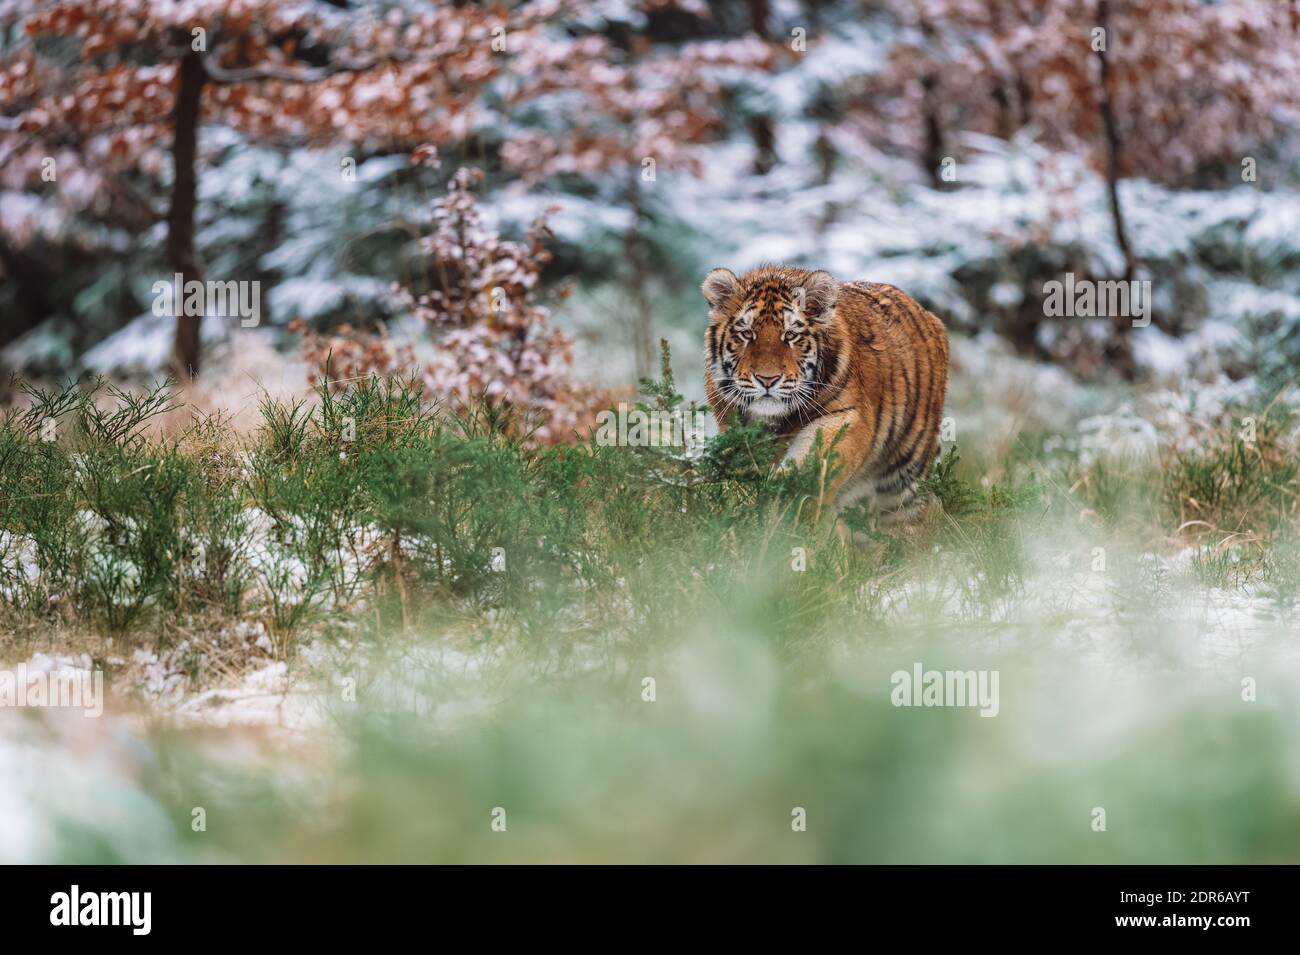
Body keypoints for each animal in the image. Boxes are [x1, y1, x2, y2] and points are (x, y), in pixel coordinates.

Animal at [702, 264, 949, 526]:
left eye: (791, 335)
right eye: (747, 334)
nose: (767, 379)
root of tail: (928, 314)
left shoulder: (848, 417)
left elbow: (811, 465)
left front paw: (786, 503)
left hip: (905, 478)